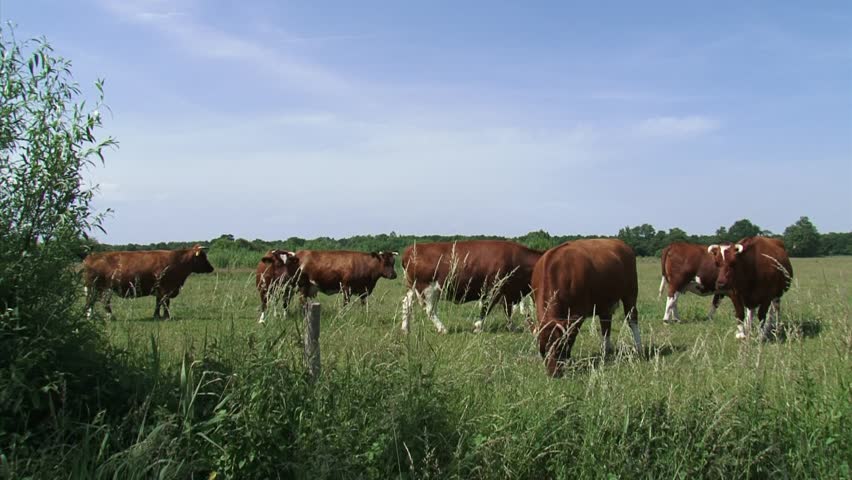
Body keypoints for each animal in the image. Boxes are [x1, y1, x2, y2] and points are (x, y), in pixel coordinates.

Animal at [83, 244, 215, 320]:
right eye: (203, 256)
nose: (212, 268)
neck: (178, 262)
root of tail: (91, 256)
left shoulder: (159, 289)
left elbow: (158, 303)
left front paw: (157, 316)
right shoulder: (166, 288)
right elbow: (165, 302)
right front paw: (167, 316)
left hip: (96, 288)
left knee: (92, 302)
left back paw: (91, 317)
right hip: (102, 288)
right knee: (102, 302)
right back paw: (110, 317)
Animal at [400, 240, 542, 334]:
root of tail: (411, 249)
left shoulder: (508, 293)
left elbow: (508, 311)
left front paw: (513, 327)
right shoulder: (494, 288)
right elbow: (486, 308)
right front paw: (478, 326)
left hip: (412, 288)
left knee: (407, 304)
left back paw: (405, 329)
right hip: (427, 290)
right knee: (430, 310)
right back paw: (443, 329)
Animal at [532, 239, 640, 377]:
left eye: (559, 347)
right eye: (542, 350)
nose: (554, 373)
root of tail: (621, 243)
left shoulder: (578, 314)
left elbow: (571, 335)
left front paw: (568, 359)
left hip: (630, 293)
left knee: (632, 318)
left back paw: (639, 347)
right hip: (605, 302)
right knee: (606, 324)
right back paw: (605, 350)